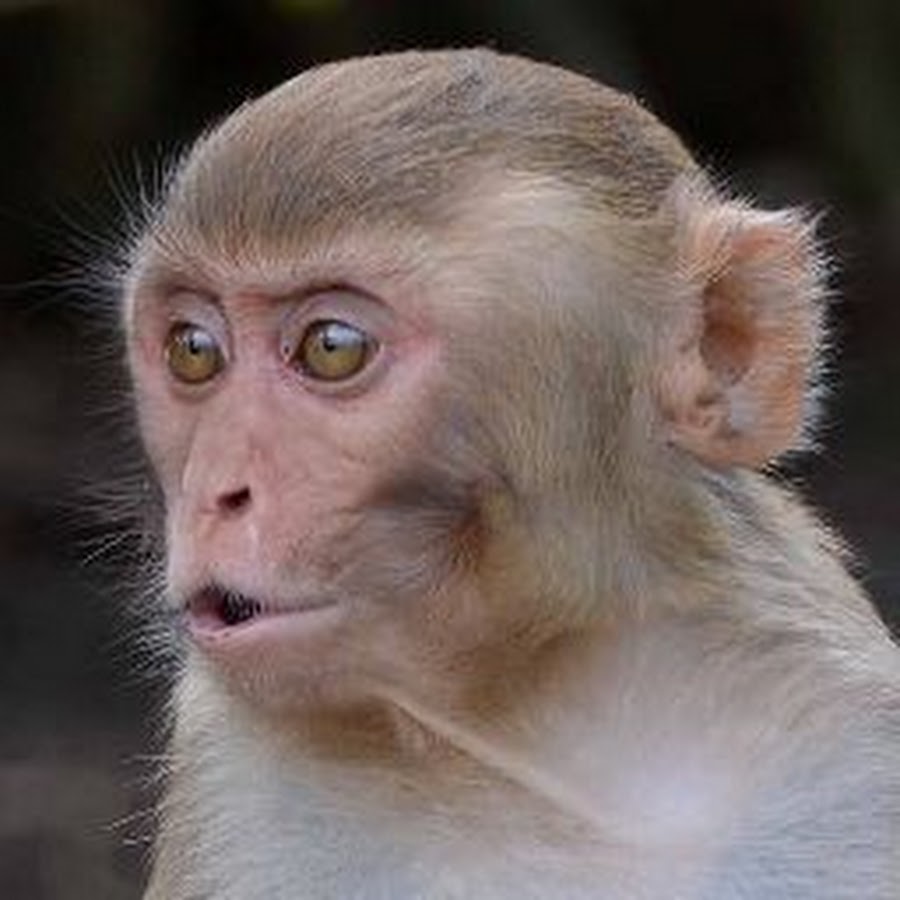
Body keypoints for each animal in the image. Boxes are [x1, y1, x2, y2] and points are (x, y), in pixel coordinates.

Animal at [119, 49, 900, 899]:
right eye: (194, 350)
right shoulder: (233, 781)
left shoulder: (847, 750)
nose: (215, 493)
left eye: (331, 347)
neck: (523, 731)